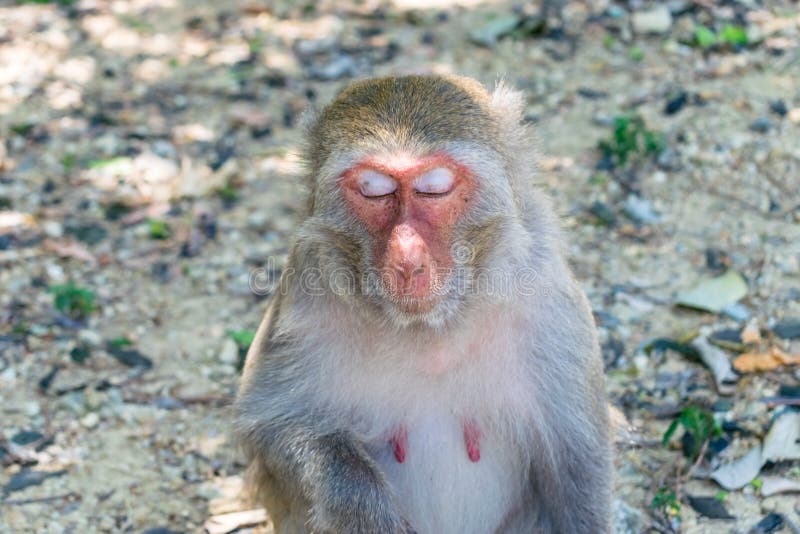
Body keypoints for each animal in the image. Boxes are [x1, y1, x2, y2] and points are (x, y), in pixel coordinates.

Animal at [234, 74, 613, 534]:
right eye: (373, 192)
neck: (432, 329)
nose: (407, 259)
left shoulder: (550, 306)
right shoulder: (303, 309)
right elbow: (272, 426)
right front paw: (360, 502)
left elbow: (577, 463)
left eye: (435, 188)